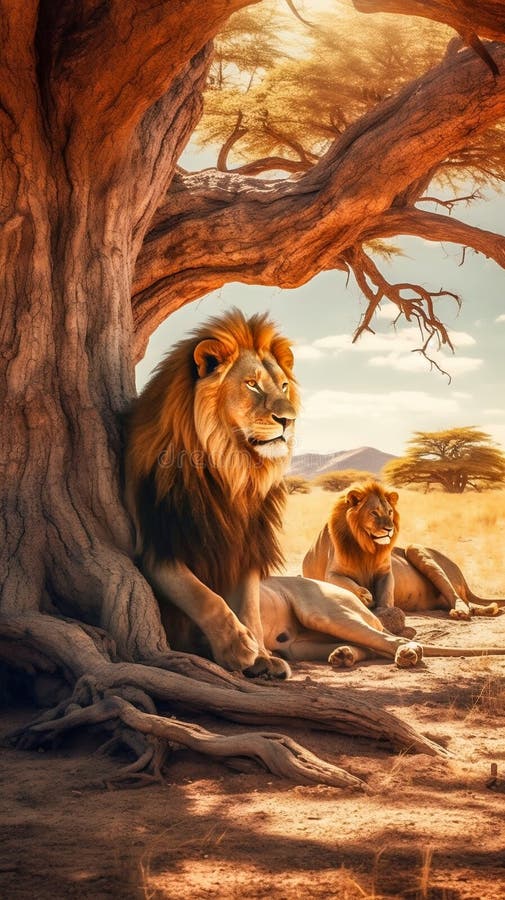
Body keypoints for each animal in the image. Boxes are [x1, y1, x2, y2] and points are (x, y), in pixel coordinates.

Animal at [125, 309, 300, 678]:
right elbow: (202, 595)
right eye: (251, 384)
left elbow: (249, 605)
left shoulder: (246, 543)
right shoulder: (156, 542)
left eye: (284, 385)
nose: (288, 420)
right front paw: (238, 647)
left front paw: (262, 656)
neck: (230, 470)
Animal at [302, 480, 505, 623]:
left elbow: (385, 593)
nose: (389, 529)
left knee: (458, 598)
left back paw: (463, 611)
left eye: (390, 512)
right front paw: (366, 597)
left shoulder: (385, 572)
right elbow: (349, 585)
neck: (366, 547)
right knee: (469, 604)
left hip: (415, 548)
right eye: (374, 512)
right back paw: (491, 609)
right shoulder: (331, 574)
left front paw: (384, 610)